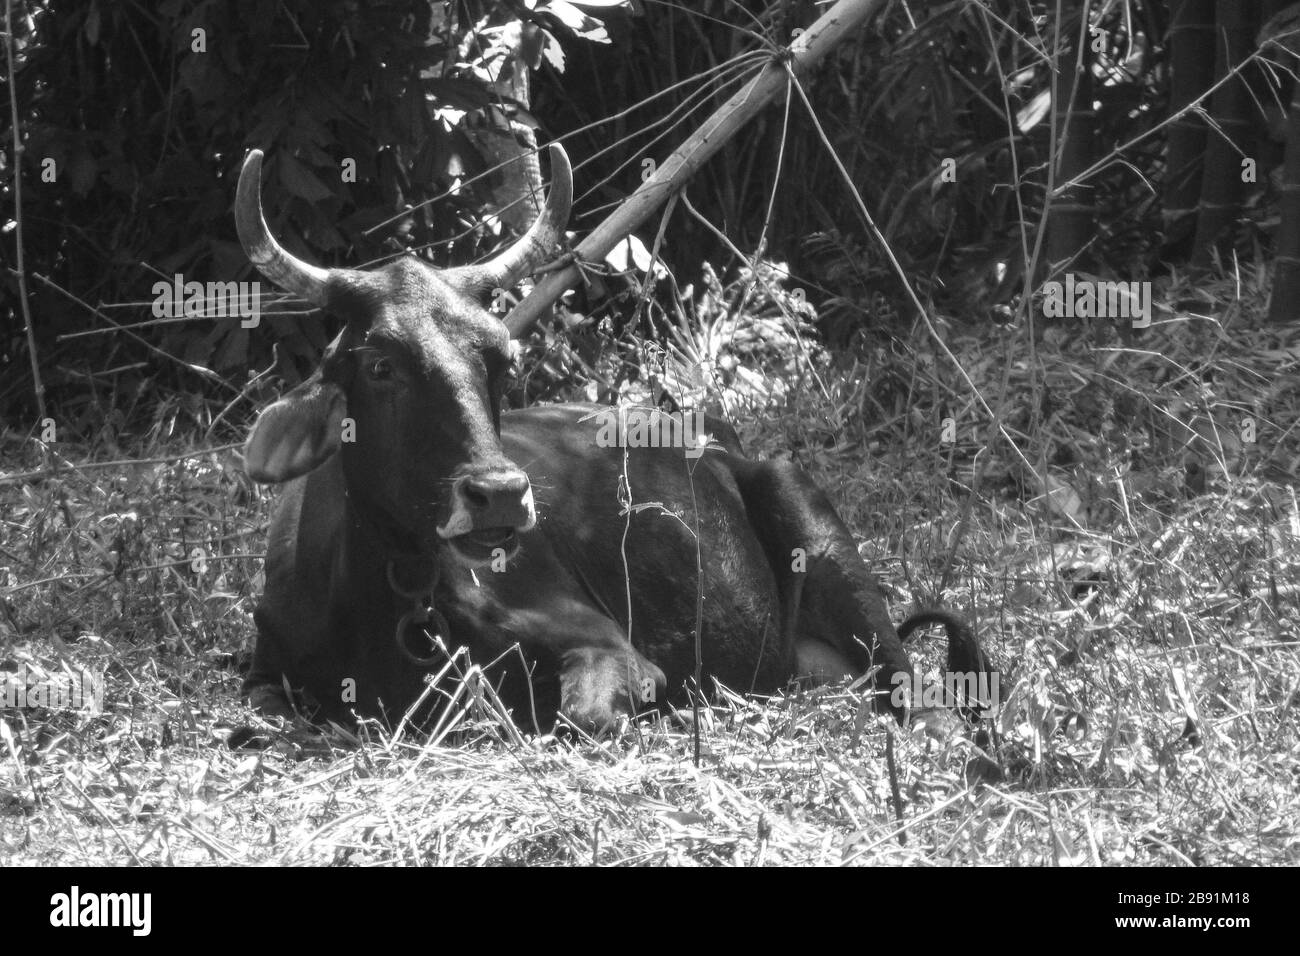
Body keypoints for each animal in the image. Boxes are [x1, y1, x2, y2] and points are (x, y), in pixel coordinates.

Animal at [235, 144, 991, 734]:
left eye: (500, 359)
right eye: (380, 365)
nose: (500, 496)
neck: (385, 591)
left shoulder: (607, 645)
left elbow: (585, 715)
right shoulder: (264, 671)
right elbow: (263, 711)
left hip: (819, 532)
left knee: (911, 686)